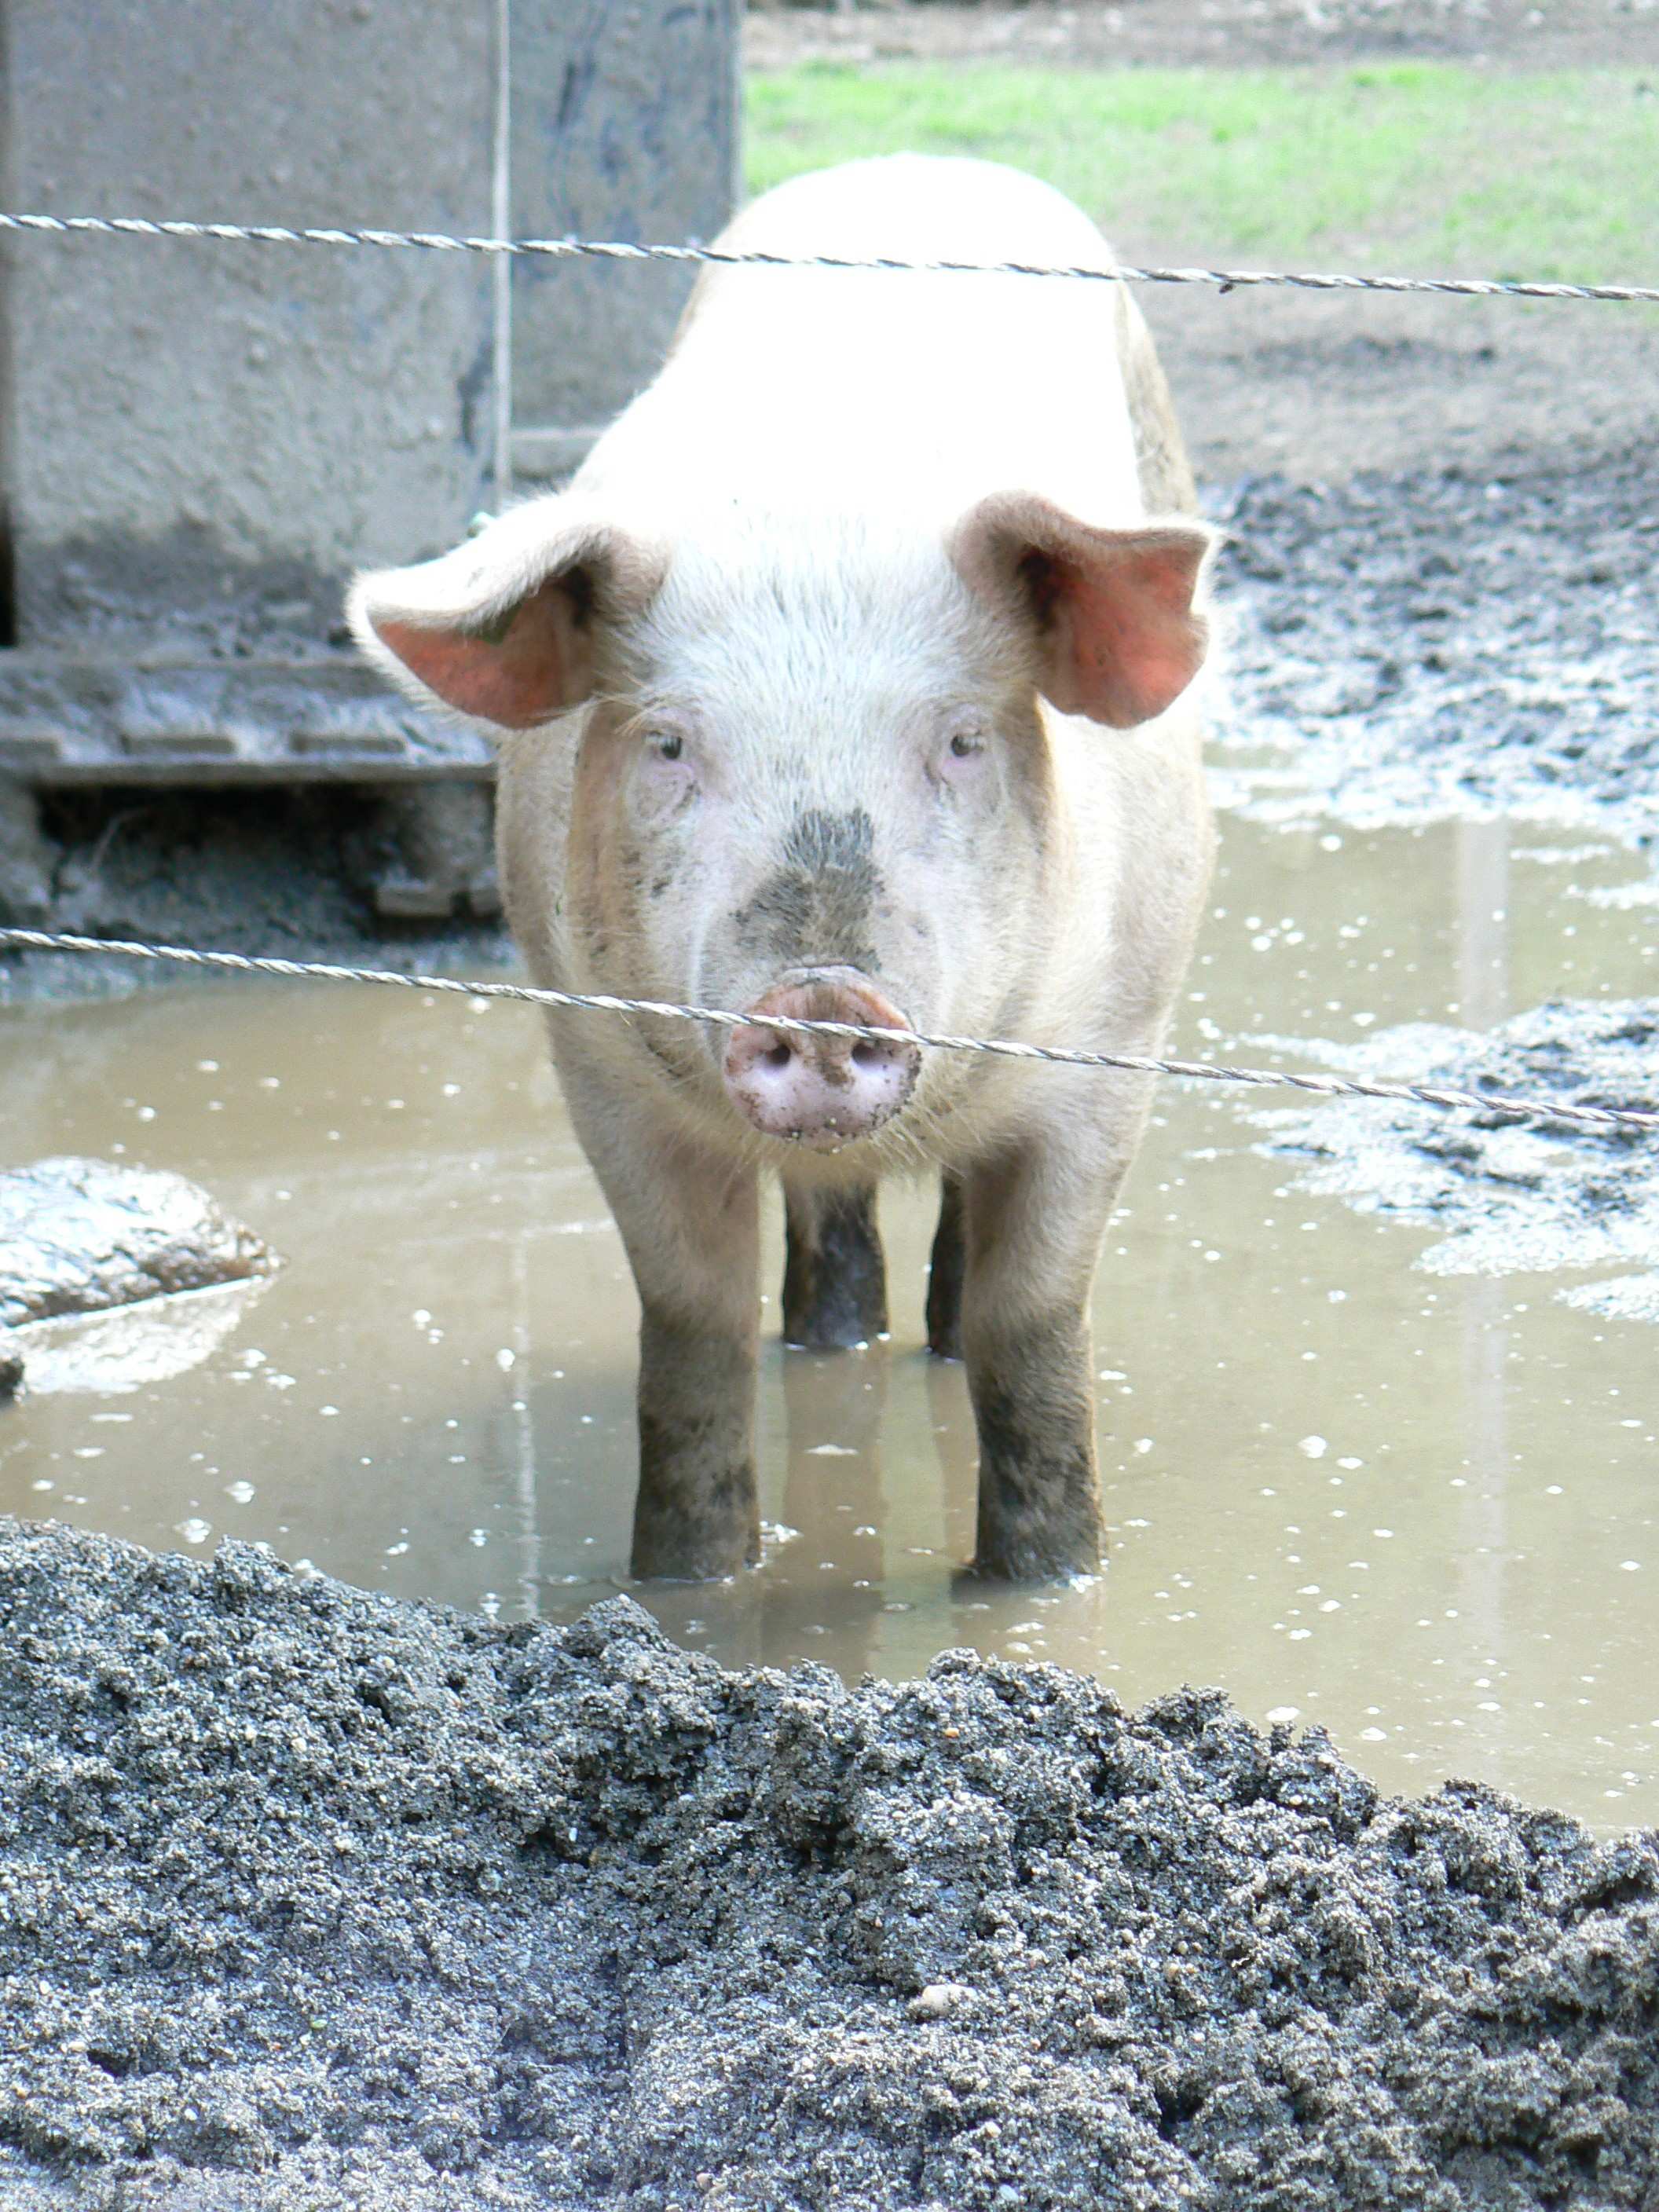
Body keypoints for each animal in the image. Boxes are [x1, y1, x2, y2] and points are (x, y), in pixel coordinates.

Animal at [350, 155, 1215, 1583]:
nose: (819, 996)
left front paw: (1040, 1584)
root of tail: (921, 163)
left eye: (964, 739)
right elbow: (690, 1328)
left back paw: (926, 1344)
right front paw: (689, 1584)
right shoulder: (595, 1061)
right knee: (826, 1229)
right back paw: (830, 1337)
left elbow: (1035, 1326)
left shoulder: (1118, 1049)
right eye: (668, 742)